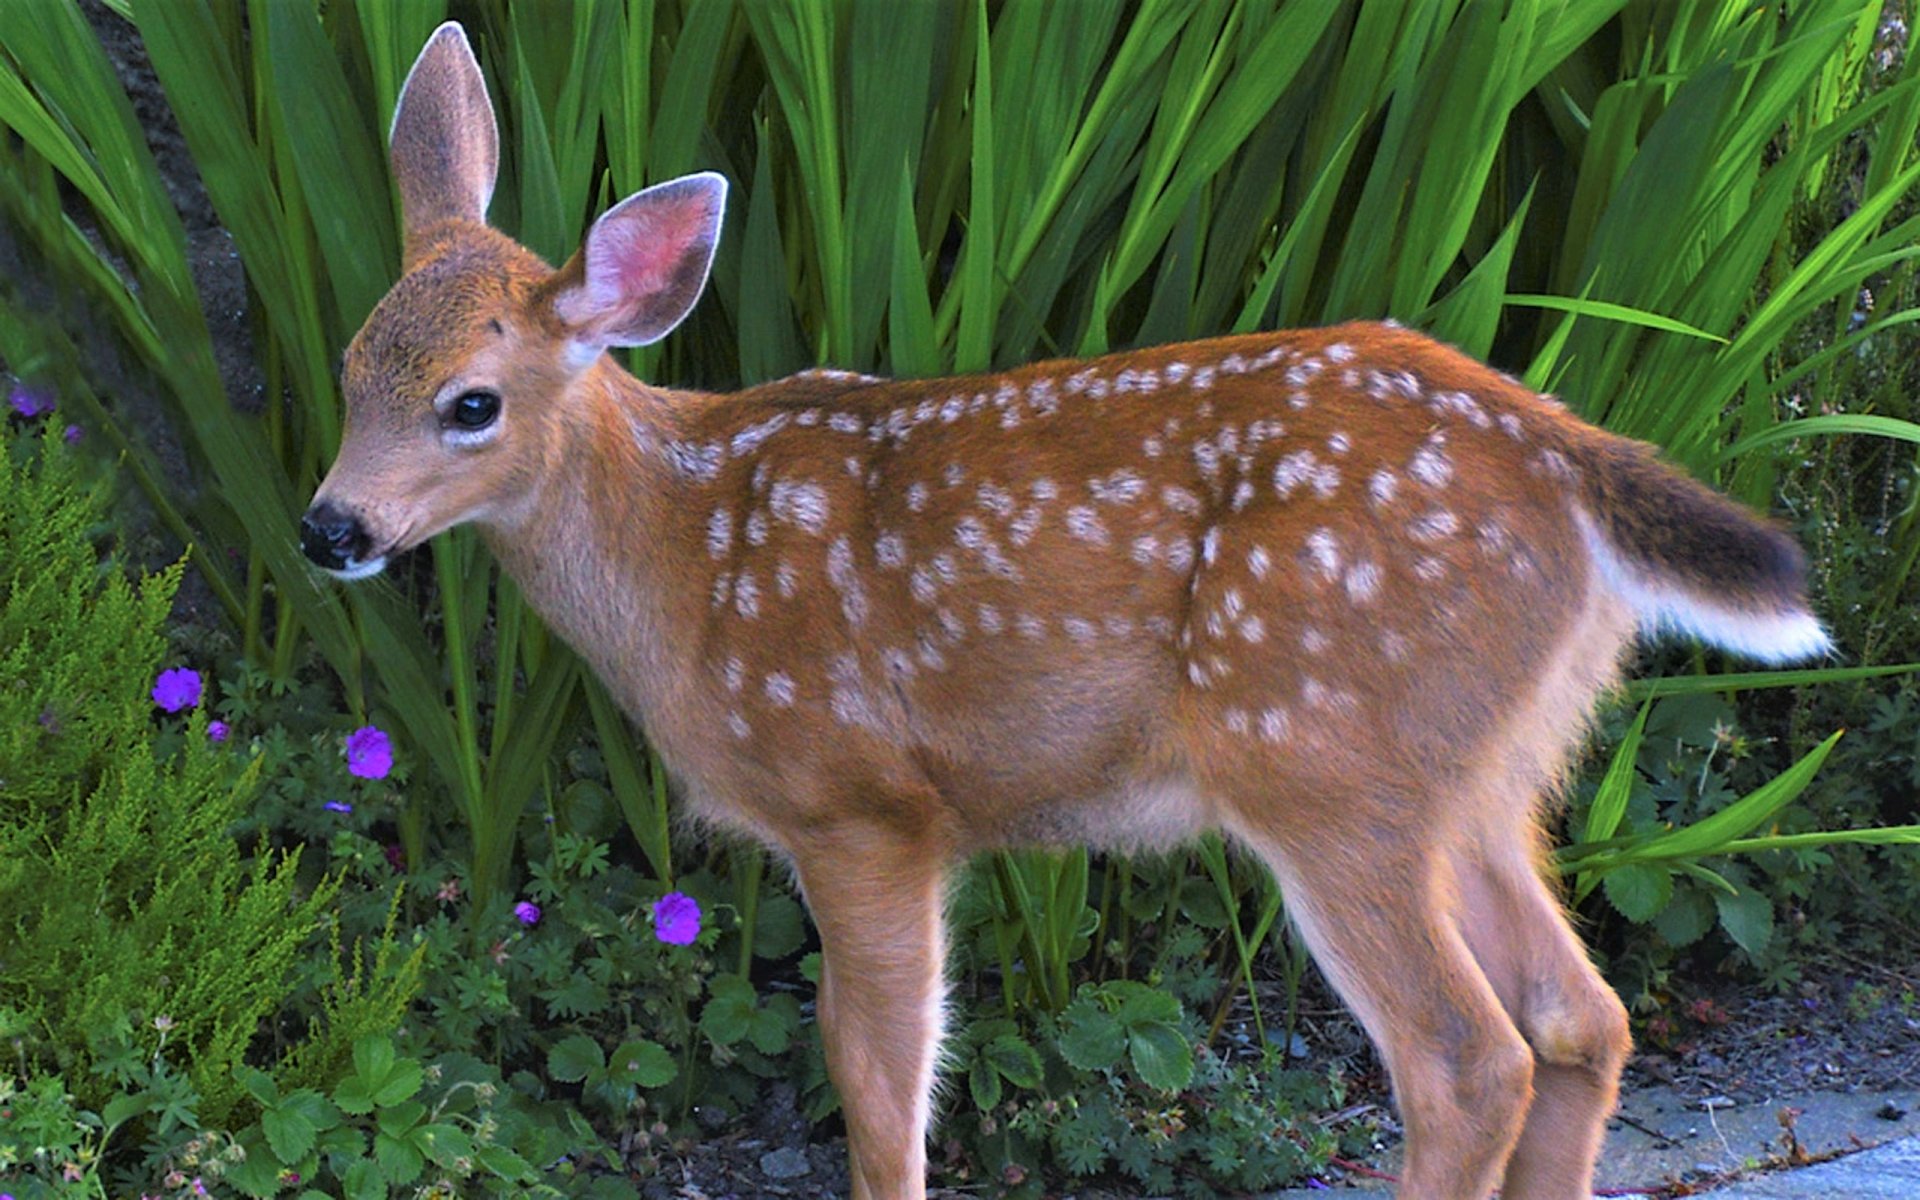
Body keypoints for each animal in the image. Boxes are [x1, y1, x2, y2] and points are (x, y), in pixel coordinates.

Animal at [300, 22, 1830, 1200]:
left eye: (471, 404)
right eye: (352, 366)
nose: (329, 528)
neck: (687, 559)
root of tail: (1575, 461)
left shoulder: (862, 802)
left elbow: (880, 1077)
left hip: (1333, 764)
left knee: (1469, 1059)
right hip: (1489, 773)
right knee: (1583, 1018)